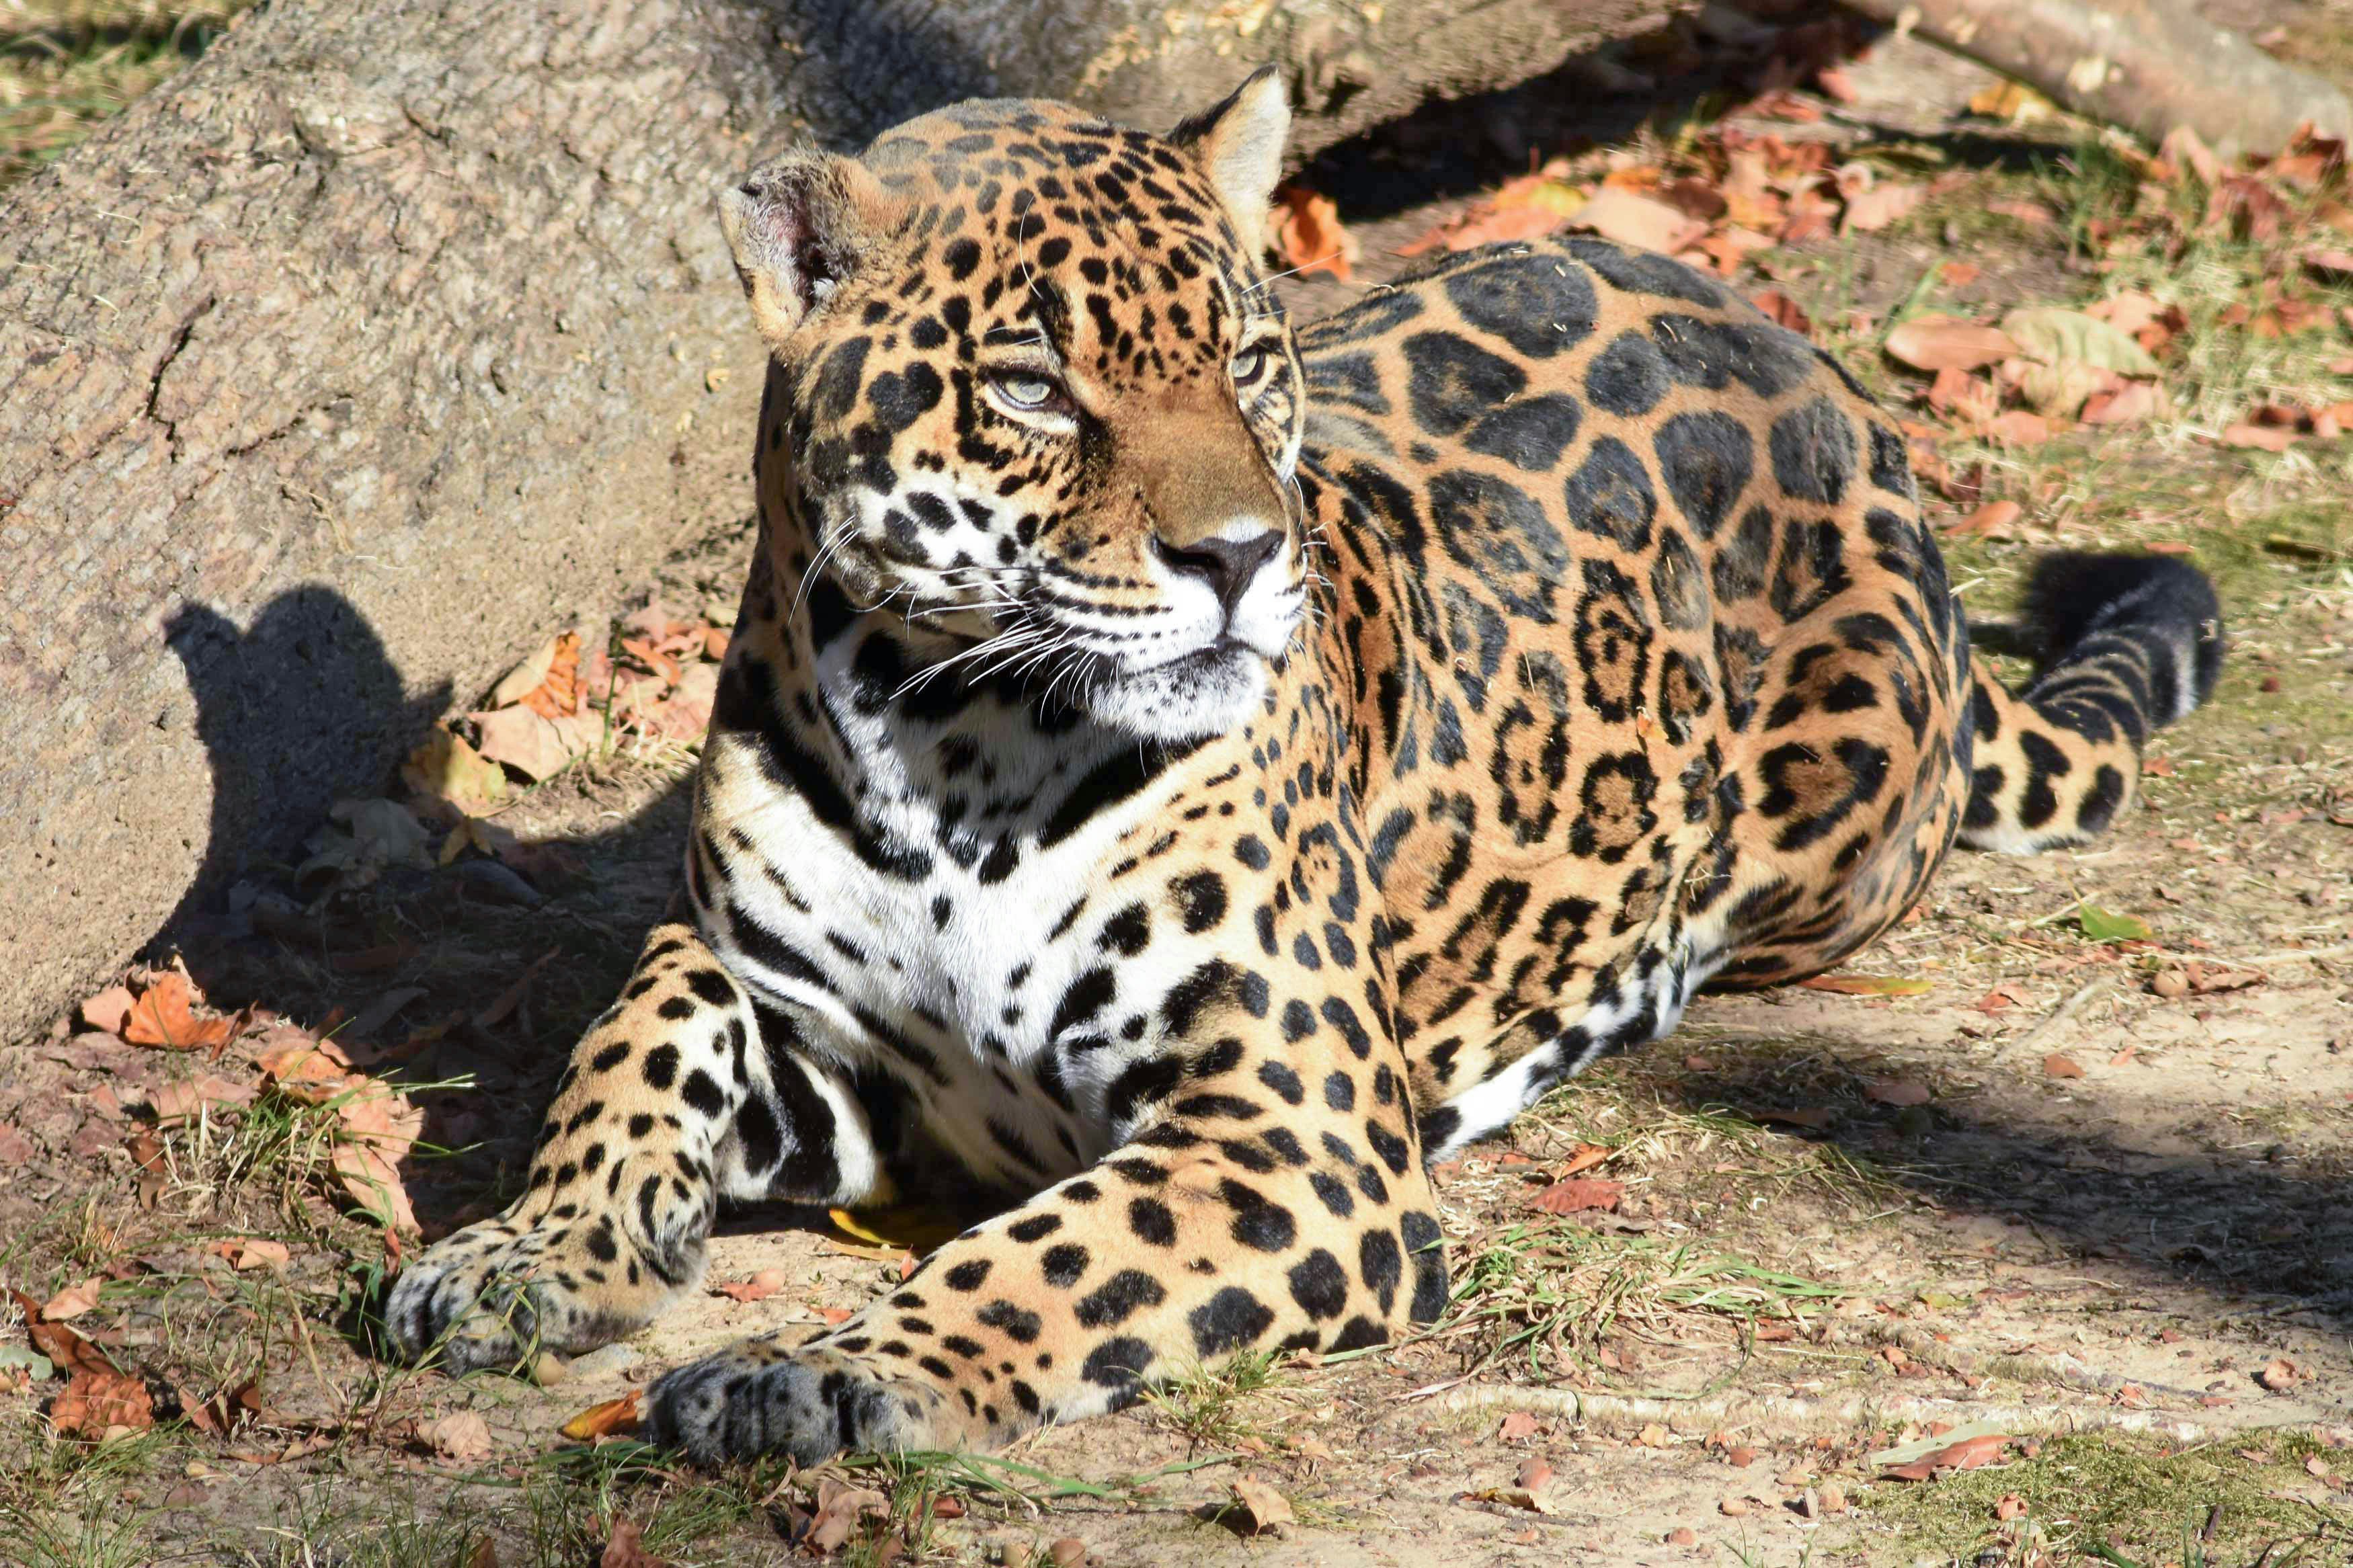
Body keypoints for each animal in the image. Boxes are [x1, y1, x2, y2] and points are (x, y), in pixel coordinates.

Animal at [386, 68, 2225, 1465]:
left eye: (1249, 360)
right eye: (1033, 390)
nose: (1241, 555)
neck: (950, 748)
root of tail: (1833, 385)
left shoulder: (1289, 1137)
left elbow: (1043, 1260)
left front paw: (832, 1369)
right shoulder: (815, 1032)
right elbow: (635, 1036)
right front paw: (519, 1254)